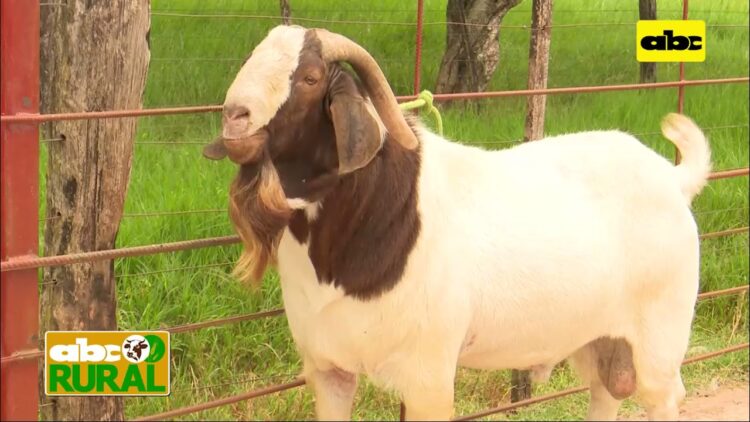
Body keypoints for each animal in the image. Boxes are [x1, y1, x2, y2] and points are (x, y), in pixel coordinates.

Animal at [203, 25, 712, 421]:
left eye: (309, 78)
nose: (234, 117)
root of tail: (672, 178)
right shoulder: (328, 368)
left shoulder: (427, 376)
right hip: (600, 339)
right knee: (606, 392)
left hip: (660, 340)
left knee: (664, 396)